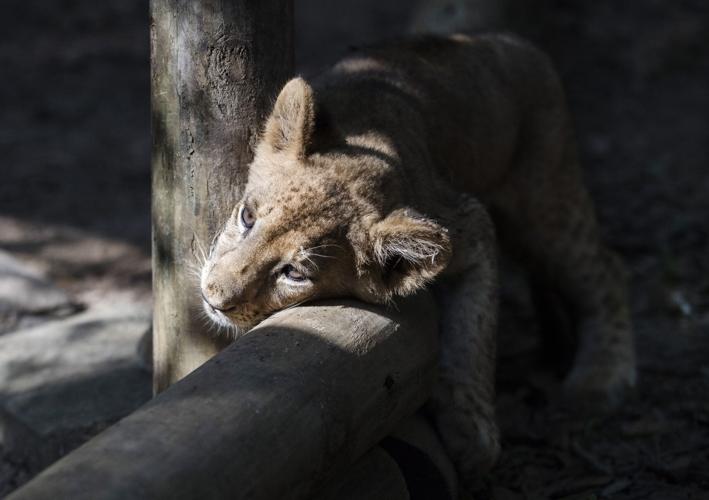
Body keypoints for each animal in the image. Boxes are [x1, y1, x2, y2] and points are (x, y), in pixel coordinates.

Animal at [199, 33, 636, 487]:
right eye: (248, 217)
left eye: (295, 273)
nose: (214, 297)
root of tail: (509, 41)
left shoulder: (468, 225)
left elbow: (473, 332)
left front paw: (473, 436)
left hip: (546, 204)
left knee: (607, 269)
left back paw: (600, 378)